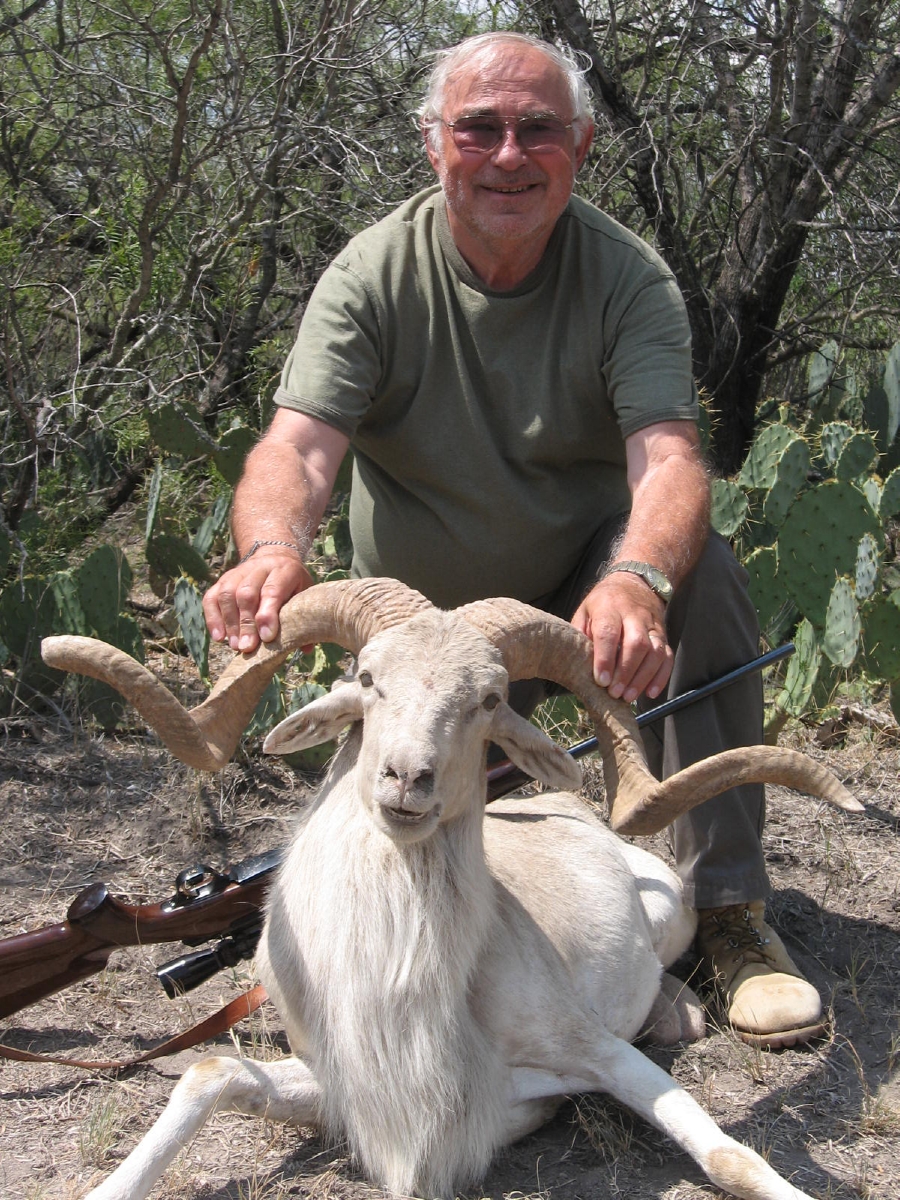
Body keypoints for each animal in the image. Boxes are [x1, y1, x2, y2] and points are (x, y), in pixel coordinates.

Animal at [40, 577, 862, 1200]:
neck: (400, 987)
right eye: (368, 679)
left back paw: (681, 1012)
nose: (407, 778)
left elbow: (728, 1155)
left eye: (489, 699)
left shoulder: (590, 1054)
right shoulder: (350, 1092)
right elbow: (207, 1073)